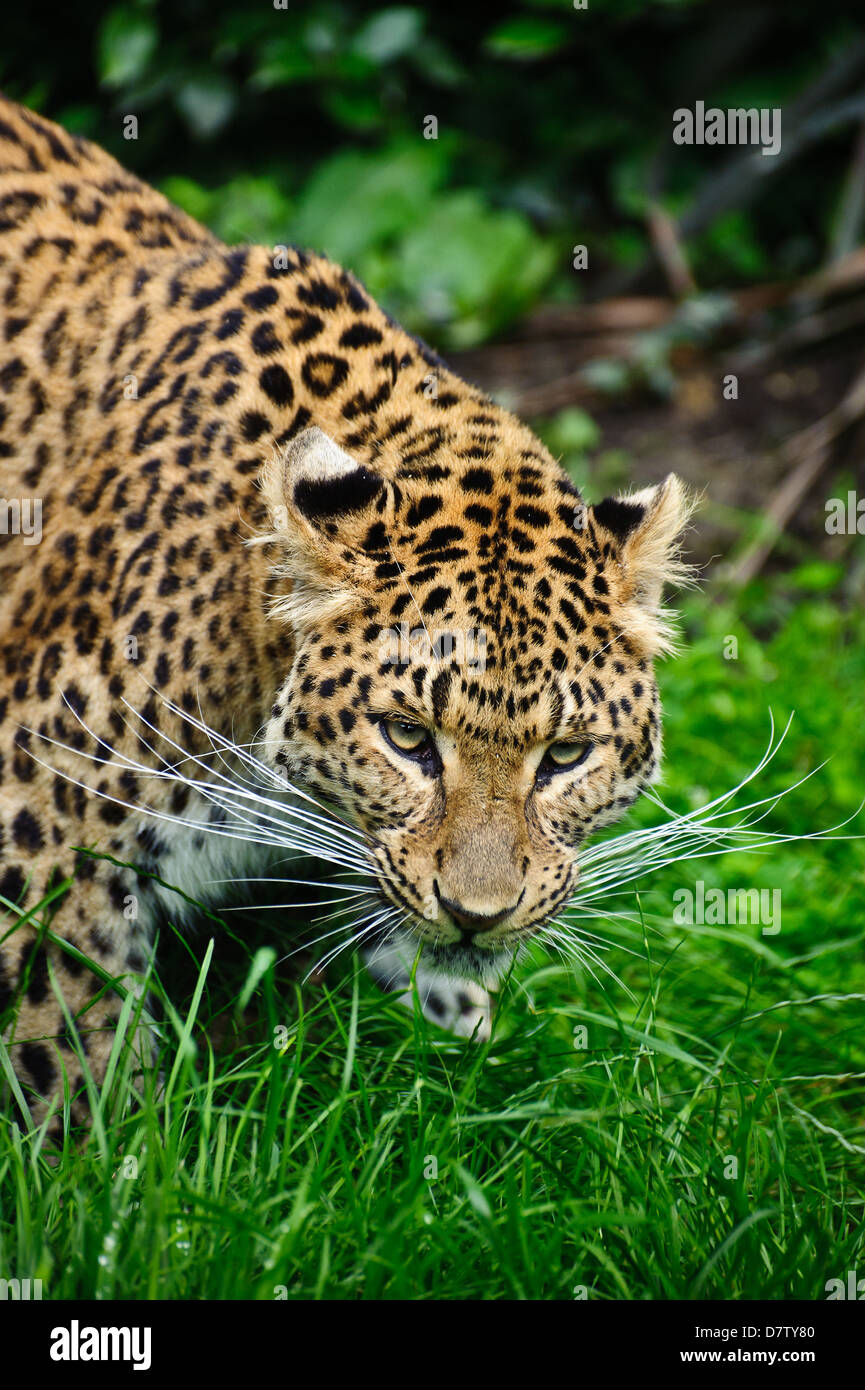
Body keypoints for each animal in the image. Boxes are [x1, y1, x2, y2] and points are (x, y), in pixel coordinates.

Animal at [0, 96, 693, 1136]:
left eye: (567, 756)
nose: (478, 914)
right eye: (406, 739)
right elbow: (65, 1052)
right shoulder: (42, 817)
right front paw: (101, 1160)